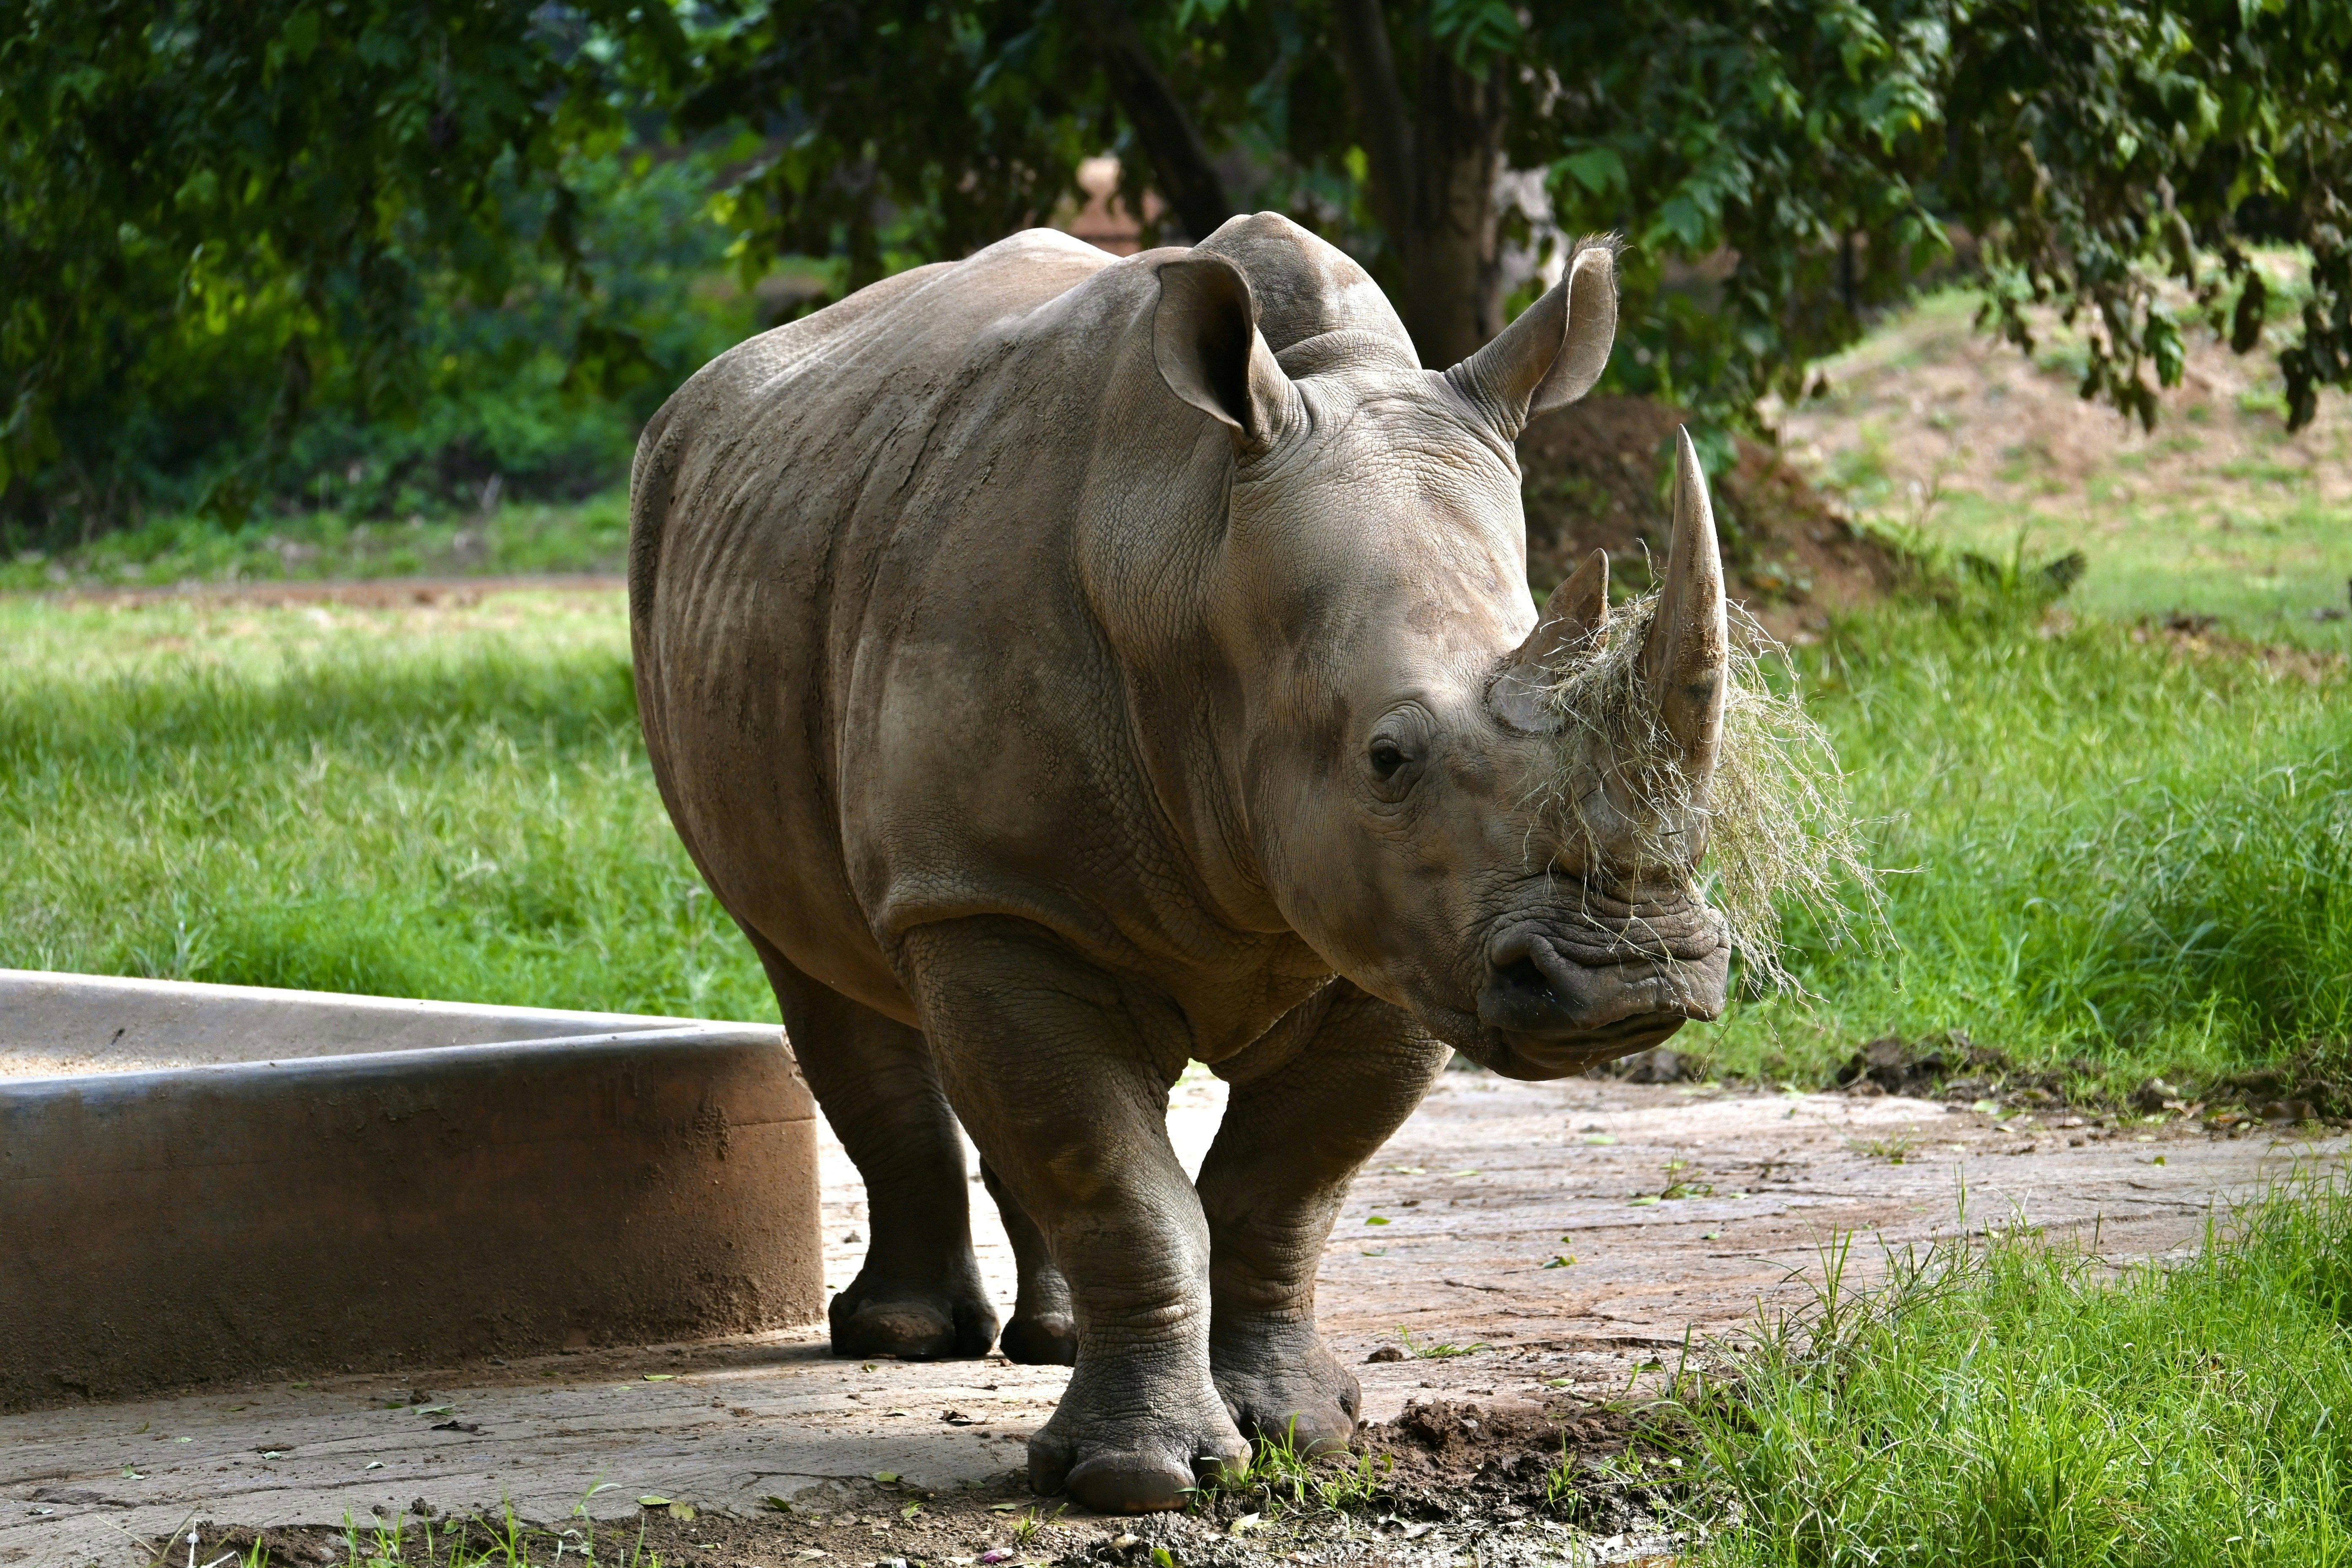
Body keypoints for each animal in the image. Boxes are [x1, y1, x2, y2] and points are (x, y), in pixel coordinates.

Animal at [628, 212, 1732, 1513]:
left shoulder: (1405, 932)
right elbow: (1119, 1183)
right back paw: (905, 1340)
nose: (1630, 982)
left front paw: (1300, 1432)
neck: (1196, 558)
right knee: (819, 970)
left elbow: (1281, 1183)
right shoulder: (998, 895)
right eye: (1387, 757)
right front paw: (1137, 1477)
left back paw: (1047, 1342)